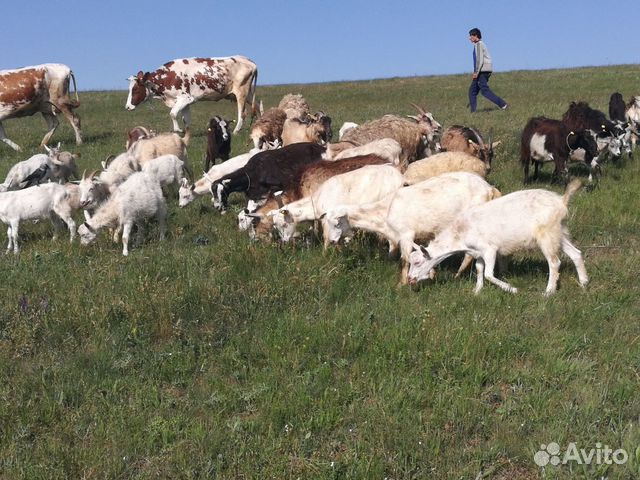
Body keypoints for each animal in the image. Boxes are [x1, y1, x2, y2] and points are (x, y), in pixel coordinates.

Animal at [407, 180, 588, 296]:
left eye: (418, 262)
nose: (409, 279)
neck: (460, 234)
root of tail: (562, 201)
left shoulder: (489, 250)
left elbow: (488, 274)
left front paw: (512, 289)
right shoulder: (478, 253)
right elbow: (479, 270)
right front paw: (477, 291)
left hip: (546, 235)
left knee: (554, 262)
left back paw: (549, 292)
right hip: (558, 232)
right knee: (576, 253)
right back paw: (584, 282)